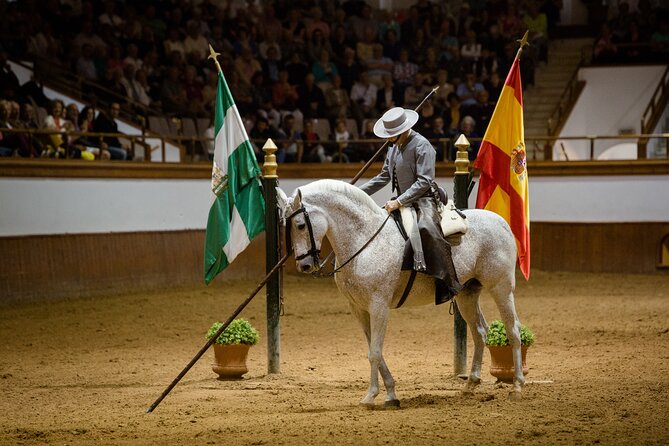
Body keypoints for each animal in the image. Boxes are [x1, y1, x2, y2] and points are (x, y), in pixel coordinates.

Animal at [277, 179, 527, 406]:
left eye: (300, 225)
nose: (304, 266)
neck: (365, 238)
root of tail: (501, 222)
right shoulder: (358, 308)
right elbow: (374, 349)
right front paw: (390, 394)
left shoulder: (379, 306)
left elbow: (374, 352)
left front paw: (371, 397)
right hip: (467, 295)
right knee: (480, 332)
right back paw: (471, 384)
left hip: (501, 288)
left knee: (513, 330)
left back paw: (517, 386)